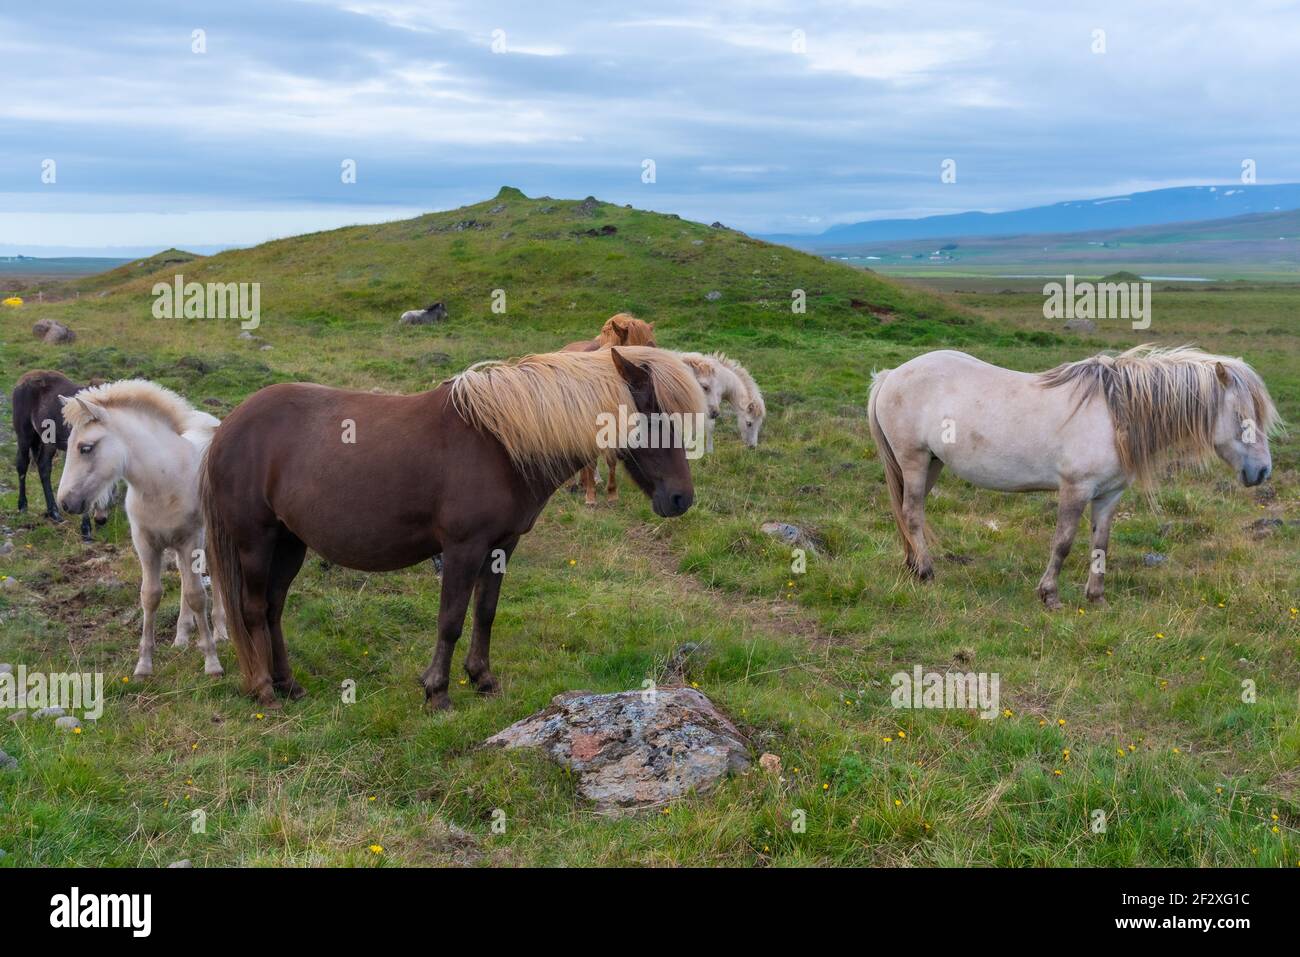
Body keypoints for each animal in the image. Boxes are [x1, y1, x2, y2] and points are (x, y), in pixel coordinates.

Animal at [11, 370, 111, 540]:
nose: (101, 519)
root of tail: (21, 380)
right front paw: (86, 529)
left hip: (48, 442)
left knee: (43, 467)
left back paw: (54, 513)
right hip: (25, 435)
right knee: (22, 465)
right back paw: (23, 506)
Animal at [56, 380, 228, 677]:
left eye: (85, 448)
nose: (65, 502)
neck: (164, 481)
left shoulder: (190, 540)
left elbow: (197, 596)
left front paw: (212, 661)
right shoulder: (146, 544)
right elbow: (150, 596)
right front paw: (144, 664)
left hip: (208, 536)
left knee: (213, 574)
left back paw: (220, 632)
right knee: (184, 577)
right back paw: (182, 636)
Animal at [201, 346, 706, 710]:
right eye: (655, 418)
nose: (681, 499)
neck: (501, 443)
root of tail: (227, 428)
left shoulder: (502, 546)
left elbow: (485, 613)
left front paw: (482, 678)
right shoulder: (463, 548)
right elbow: (450, 620)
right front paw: (437, 691)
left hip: (290, 543)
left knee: (273, 608)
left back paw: (289, 684)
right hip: (255, 541)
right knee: (252, 610)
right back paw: (264, 689)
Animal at [867, 345, 1280, 608]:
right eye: (1243, 418)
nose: (1261, 471)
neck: (1116, 415)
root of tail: (891, 375)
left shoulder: (1108, 496)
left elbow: (1101, 543)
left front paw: (1096, 597)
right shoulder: (1075, 489)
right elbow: (1063, 542)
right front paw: (1049, 595)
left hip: (932, 462)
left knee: (908, 511)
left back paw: (912, 564)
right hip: (914, 460)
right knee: (912, 513)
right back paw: (925, 571)